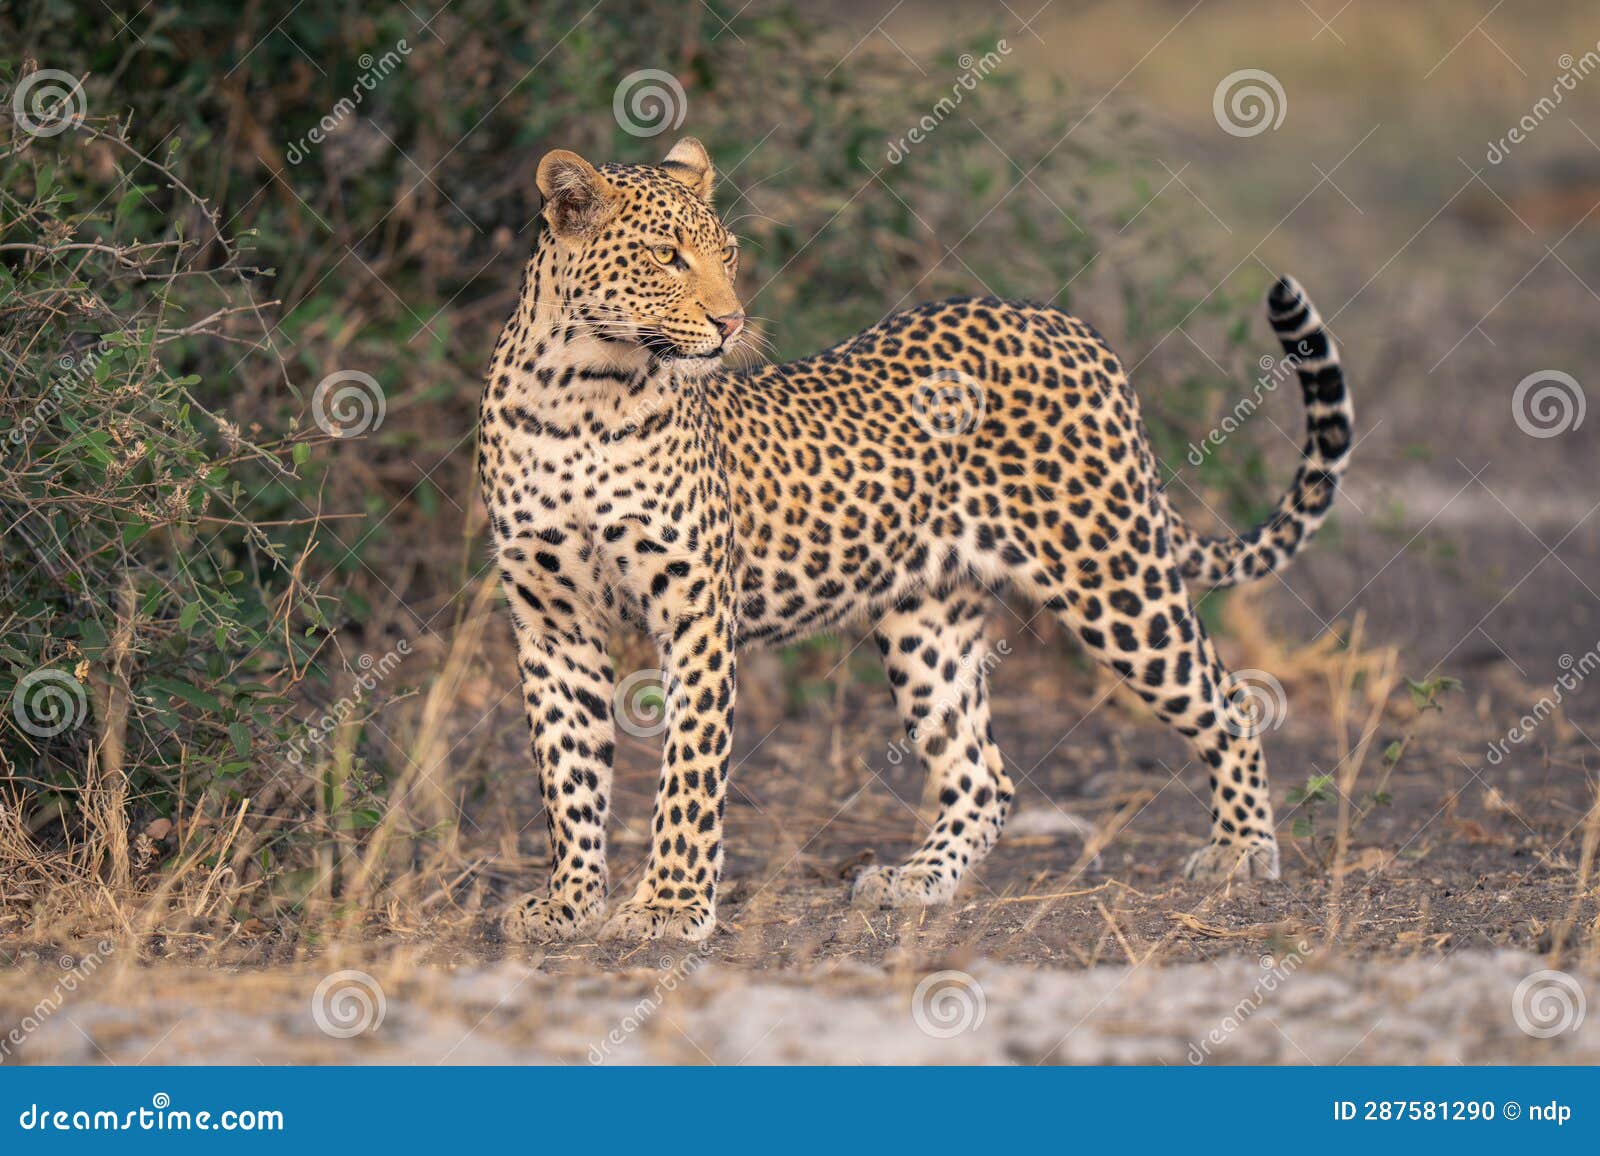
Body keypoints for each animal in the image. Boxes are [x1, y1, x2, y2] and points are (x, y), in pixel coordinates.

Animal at [478, 137, 1353, 943]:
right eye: (666, 255)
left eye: (726, 255)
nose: (731, 322)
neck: (582, 395)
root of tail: (1067, 324)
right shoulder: (552, 623)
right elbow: (568, 772)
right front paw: (568, 902)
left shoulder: (693, 614)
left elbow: (689, 770)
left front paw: (668, 908)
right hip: (926, 619)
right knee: (982, 774)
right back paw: (918, 881)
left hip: (1114, 577)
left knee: (1230, 700)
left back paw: (1242, 852)